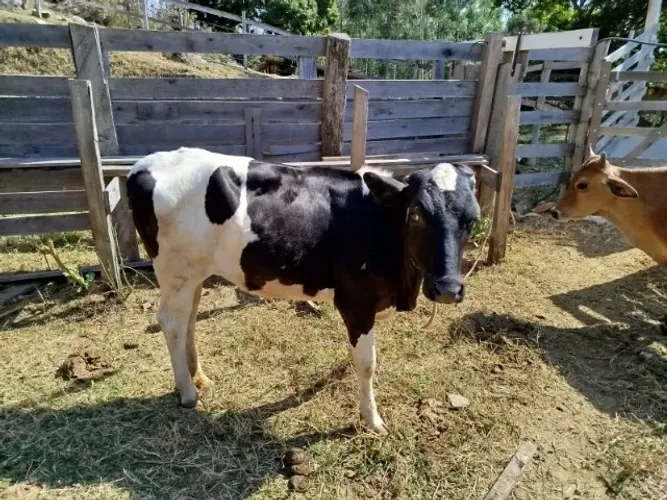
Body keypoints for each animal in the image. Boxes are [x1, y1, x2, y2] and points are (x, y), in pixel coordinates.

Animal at [126, 147, 480, 433]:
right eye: (416, 214)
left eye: (473, 219)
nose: (448, 289)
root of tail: (144, 164)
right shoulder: (356, 301)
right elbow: (368, 364)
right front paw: (372, 420)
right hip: (175, 271)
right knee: (171, 323)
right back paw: (187, 392)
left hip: (194, 272)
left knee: (189, 318)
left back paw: (198, 376)